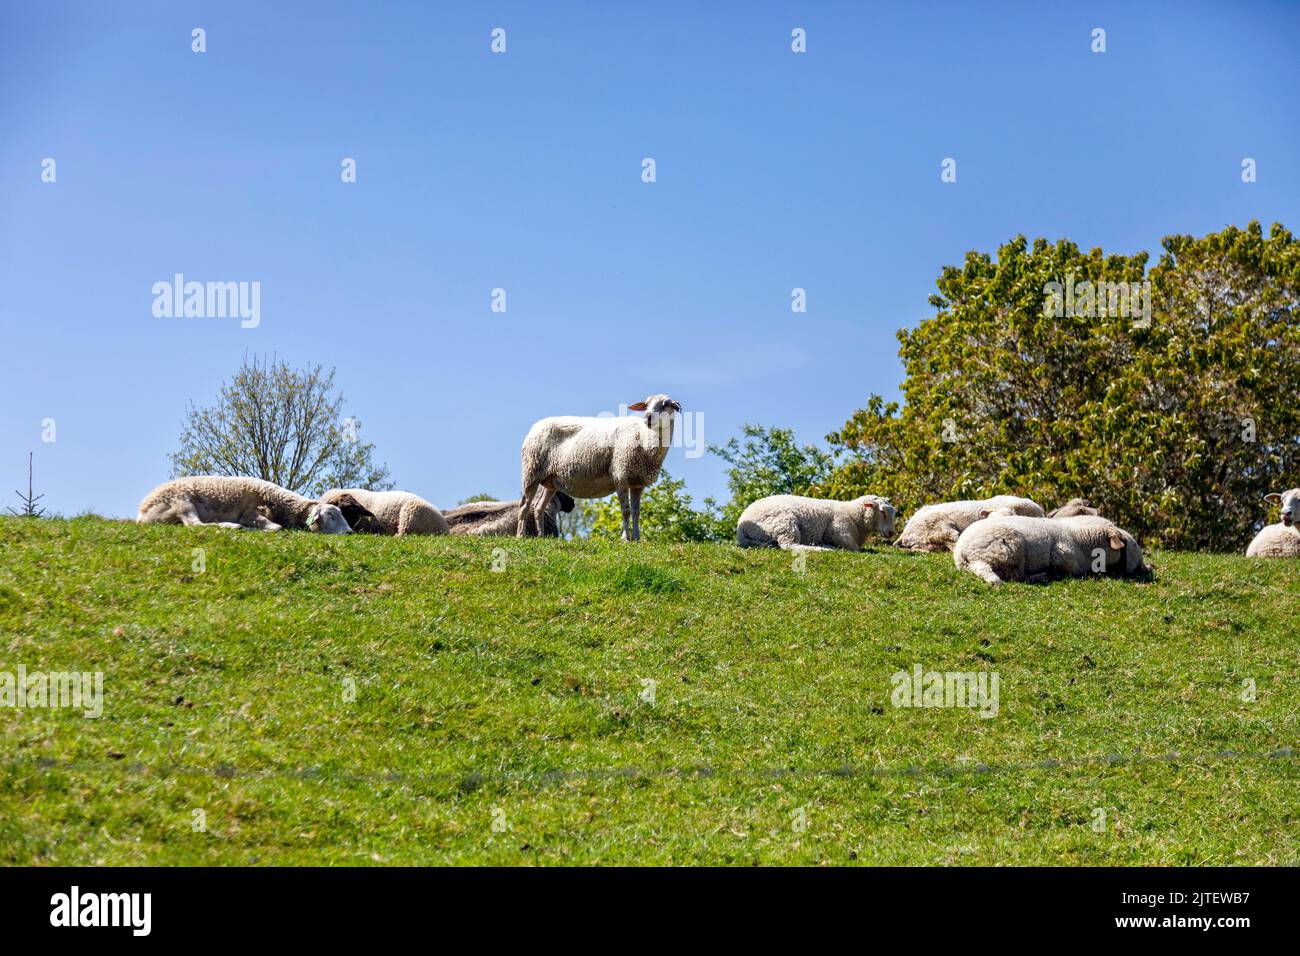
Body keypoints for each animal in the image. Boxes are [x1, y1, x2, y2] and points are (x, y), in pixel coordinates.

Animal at [137, 476, 363, 533]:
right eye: (330, 515)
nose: (349, 532)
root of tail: (141, 514)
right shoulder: (250, 512)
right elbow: (277, 528)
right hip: (182, 500)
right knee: (194, 524)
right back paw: (233, 526)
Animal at [517, 395, 680, 540]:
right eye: (646, 405)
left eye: (666, 405)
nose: (648, 417)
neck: (644, 438)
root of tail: (535, 427)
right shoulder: (620, 475)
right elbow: (626, 511)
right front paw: (626, 538)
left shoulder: (637, 482)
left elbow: (636, 512)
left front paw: (637, 538)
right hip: (532, 472)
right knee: (524, 507)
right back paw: (521, 535)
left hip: (550, 481)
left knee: (538, 507)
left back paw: (541, 536)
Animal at [735, 494, 896, 551]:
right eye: (882, 511)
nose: (891, 532)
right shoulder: (839, 531)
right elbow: (855, 549)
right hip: (784, 523)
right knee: (790, 545)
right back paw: (824, 548)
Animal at [953, 512, 1149, 585]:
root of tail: (965, 554)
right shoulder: (1062, 554)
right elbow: (1076, 571)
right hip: (1010, 549)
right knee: (1017, 576)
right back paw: (1041, 575)